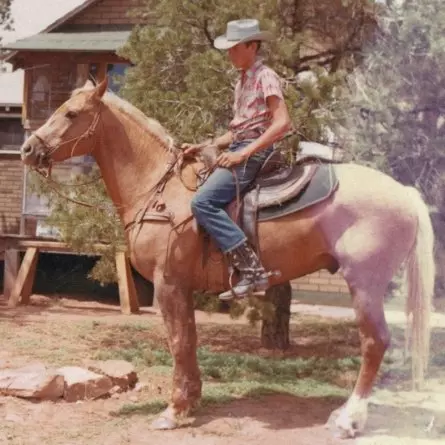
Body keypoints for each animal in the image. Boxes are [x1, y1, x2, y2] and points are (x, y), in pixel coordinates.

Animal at [18, 79, 434, 438]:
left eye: (72, 113)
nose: (27, 149)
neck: (160, 190)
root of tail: (405, 193)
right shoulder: (182, 288)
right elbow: (189, 339)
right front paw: (191, 402)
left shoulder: (168, 284)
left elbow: (178, 342)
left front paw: (173, 411)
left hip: (364, 284)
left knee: (375, 342)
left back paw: (348, 420)